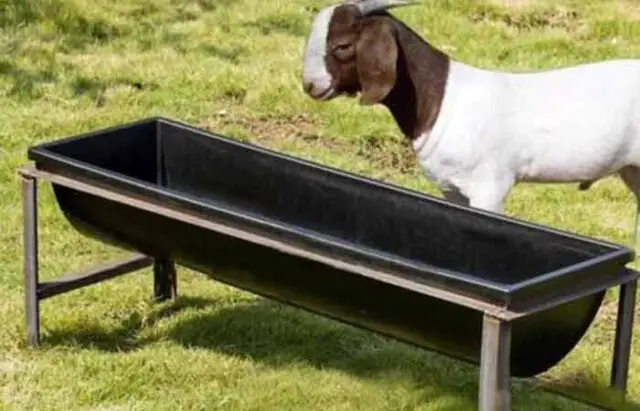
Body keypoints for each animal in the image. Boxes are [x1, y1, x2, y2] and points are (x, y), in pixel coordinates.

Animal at [301, 0, 640, 246]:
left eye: (343, 45)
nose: (310, 85)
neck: (441, 99)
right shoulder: (453, 190)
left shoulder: (490, 187)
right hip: (632, 171)